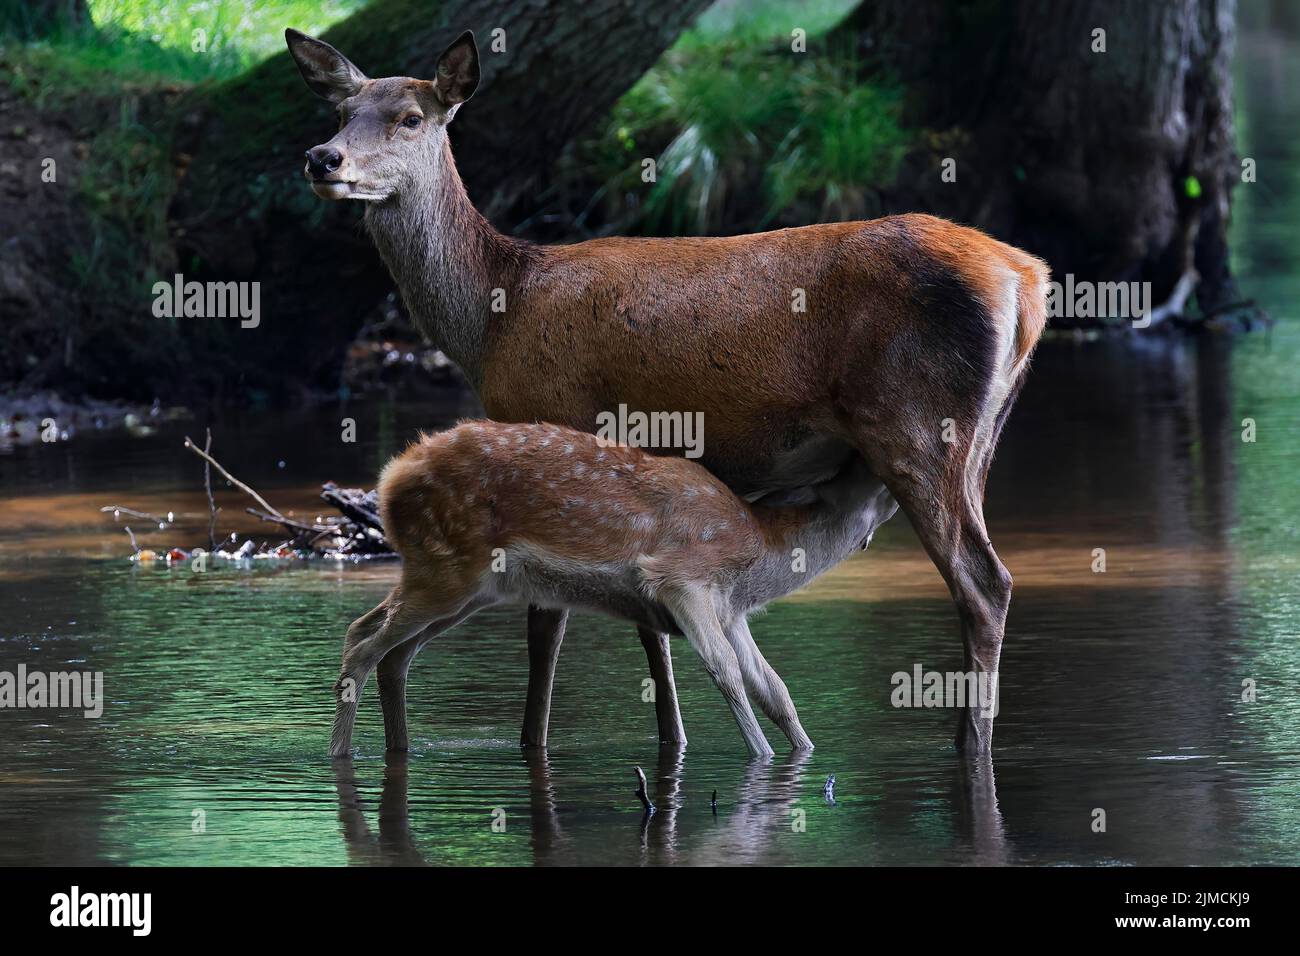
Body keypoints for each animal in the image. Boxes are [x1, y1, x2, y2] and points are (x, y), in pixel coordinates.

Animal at [329, 420, 898, 759]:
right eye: (864, 468)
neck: (761, 551)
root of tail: (389, 478)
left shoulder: (731, 611)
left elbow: (774, 688)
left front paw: (805, 751)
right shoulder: (681, 577)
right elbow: (726, 673)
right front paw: (764, 755)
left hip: (468, 588)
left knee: (391, 652)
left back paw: (396, 748)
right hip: (446, 569)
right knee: (361, 640)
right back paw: (340, 752)